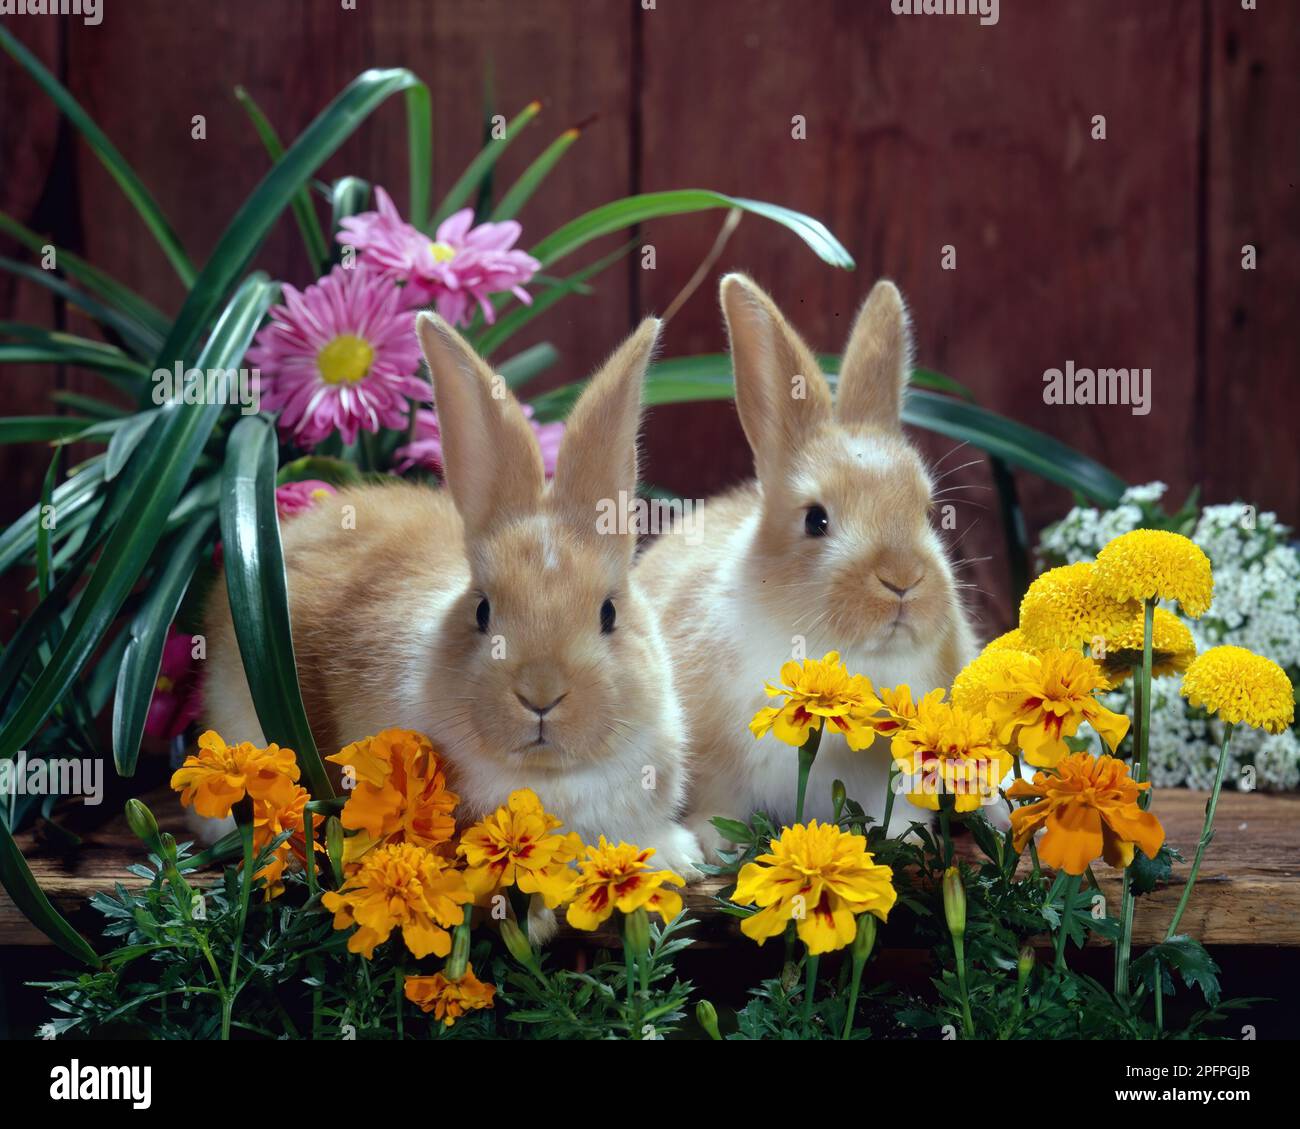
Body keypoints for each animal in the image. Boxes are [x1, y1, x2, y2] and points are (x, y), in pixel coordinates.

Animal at [635, 274, 978, 857]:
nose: (902, 581)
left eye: (928, 512)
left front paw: (901, 838)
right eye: (816, 520)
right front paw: (713, 842)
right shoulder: (711, 759)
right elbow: (718, 801)